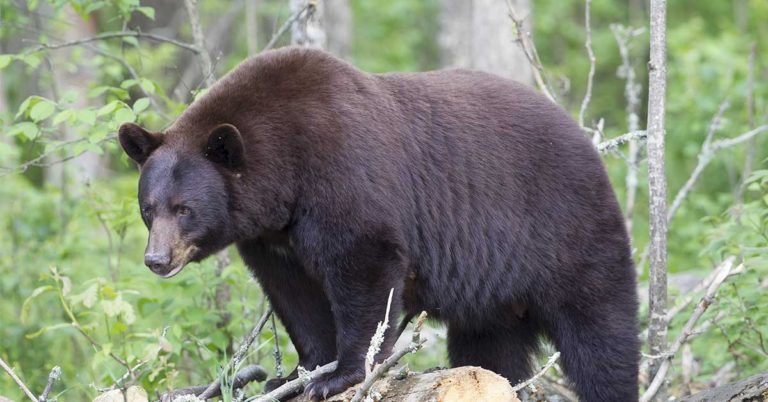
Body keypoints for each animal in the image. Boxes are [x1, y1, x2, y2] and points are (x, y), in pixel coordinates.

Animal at [119, 47, 639, 401]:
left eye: (184, 208)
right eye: (148, 208)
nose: (156, 259)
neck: (285, 175)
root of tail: (585, 140)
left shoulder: (345, 175)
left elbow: (365, 268)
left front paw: (339, 375)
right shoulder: (272, 238)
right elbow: (295, 294)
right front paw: (297, 374)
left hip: (567, 231)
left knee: (601, 334)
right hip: (493, 296)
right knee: (490, 351)